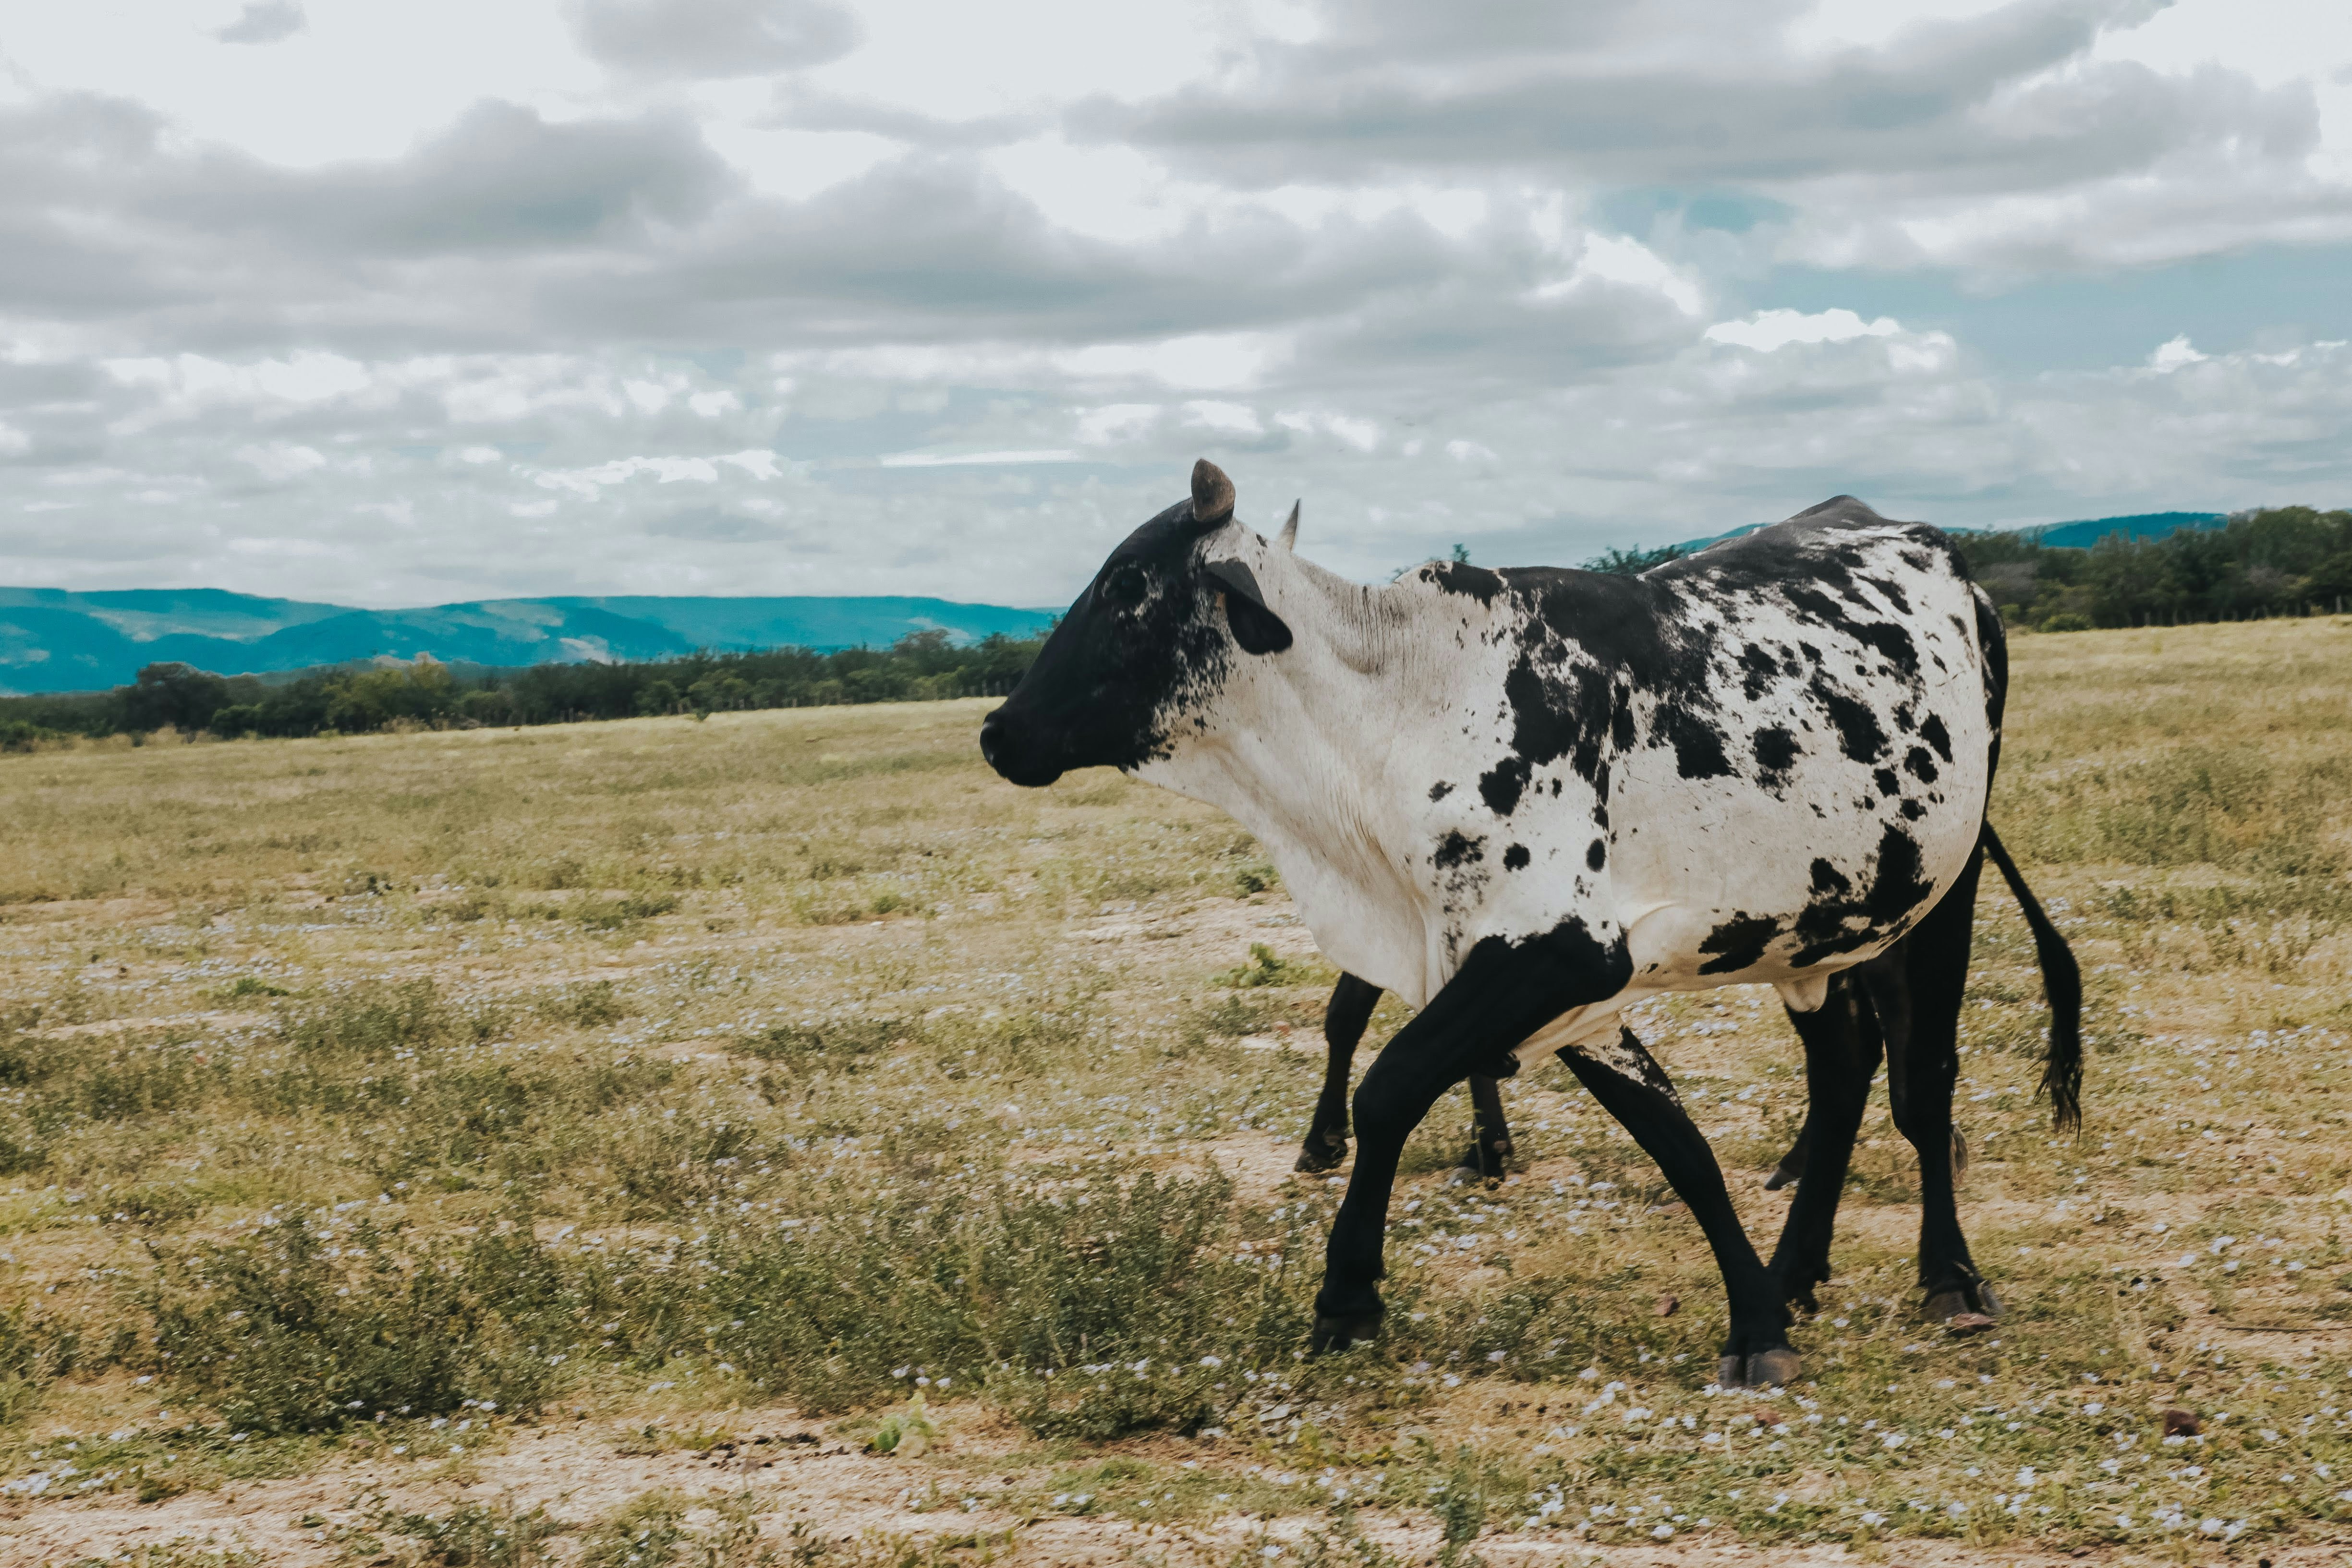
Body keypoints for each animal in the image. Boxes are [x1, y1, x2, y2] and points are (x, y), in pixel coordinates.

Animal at [980, 460, 2081, 1386]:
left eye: (1128, 584)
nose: (998, 731)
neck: (1399, 716)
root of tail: (1940, 556)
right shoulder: (1545, 978)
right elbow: (1674, 1138)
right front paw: (1756, 1316)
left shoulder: (1554, 957)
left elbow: (1389, 1086)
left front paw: (1346, 1295)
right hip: (1812, 930)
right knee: (1844, 1070)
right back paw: (1798, 1269)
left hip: (1941, 892)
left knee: (1922, 1080)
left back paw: (1949, 1276)